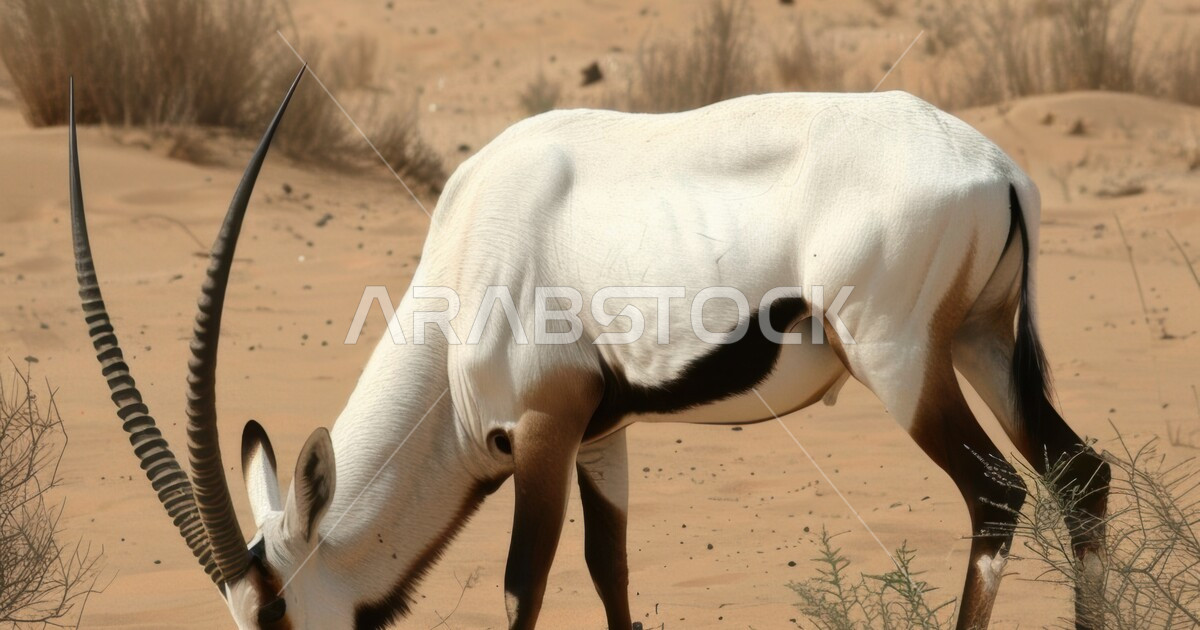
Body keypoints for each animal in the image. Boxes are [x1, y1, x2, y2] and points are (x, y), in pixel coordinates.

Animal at [70, 67, 1110, 630]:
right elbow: (611, 575)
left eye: (277, 609)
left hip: (902, 363)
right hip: (977, 344)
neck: (467, 260)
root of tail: (994, 168)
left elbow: (521, 588)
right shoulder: (604, 435)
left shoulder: (542, 430)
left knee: (998, 493)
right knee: (1080, 475)